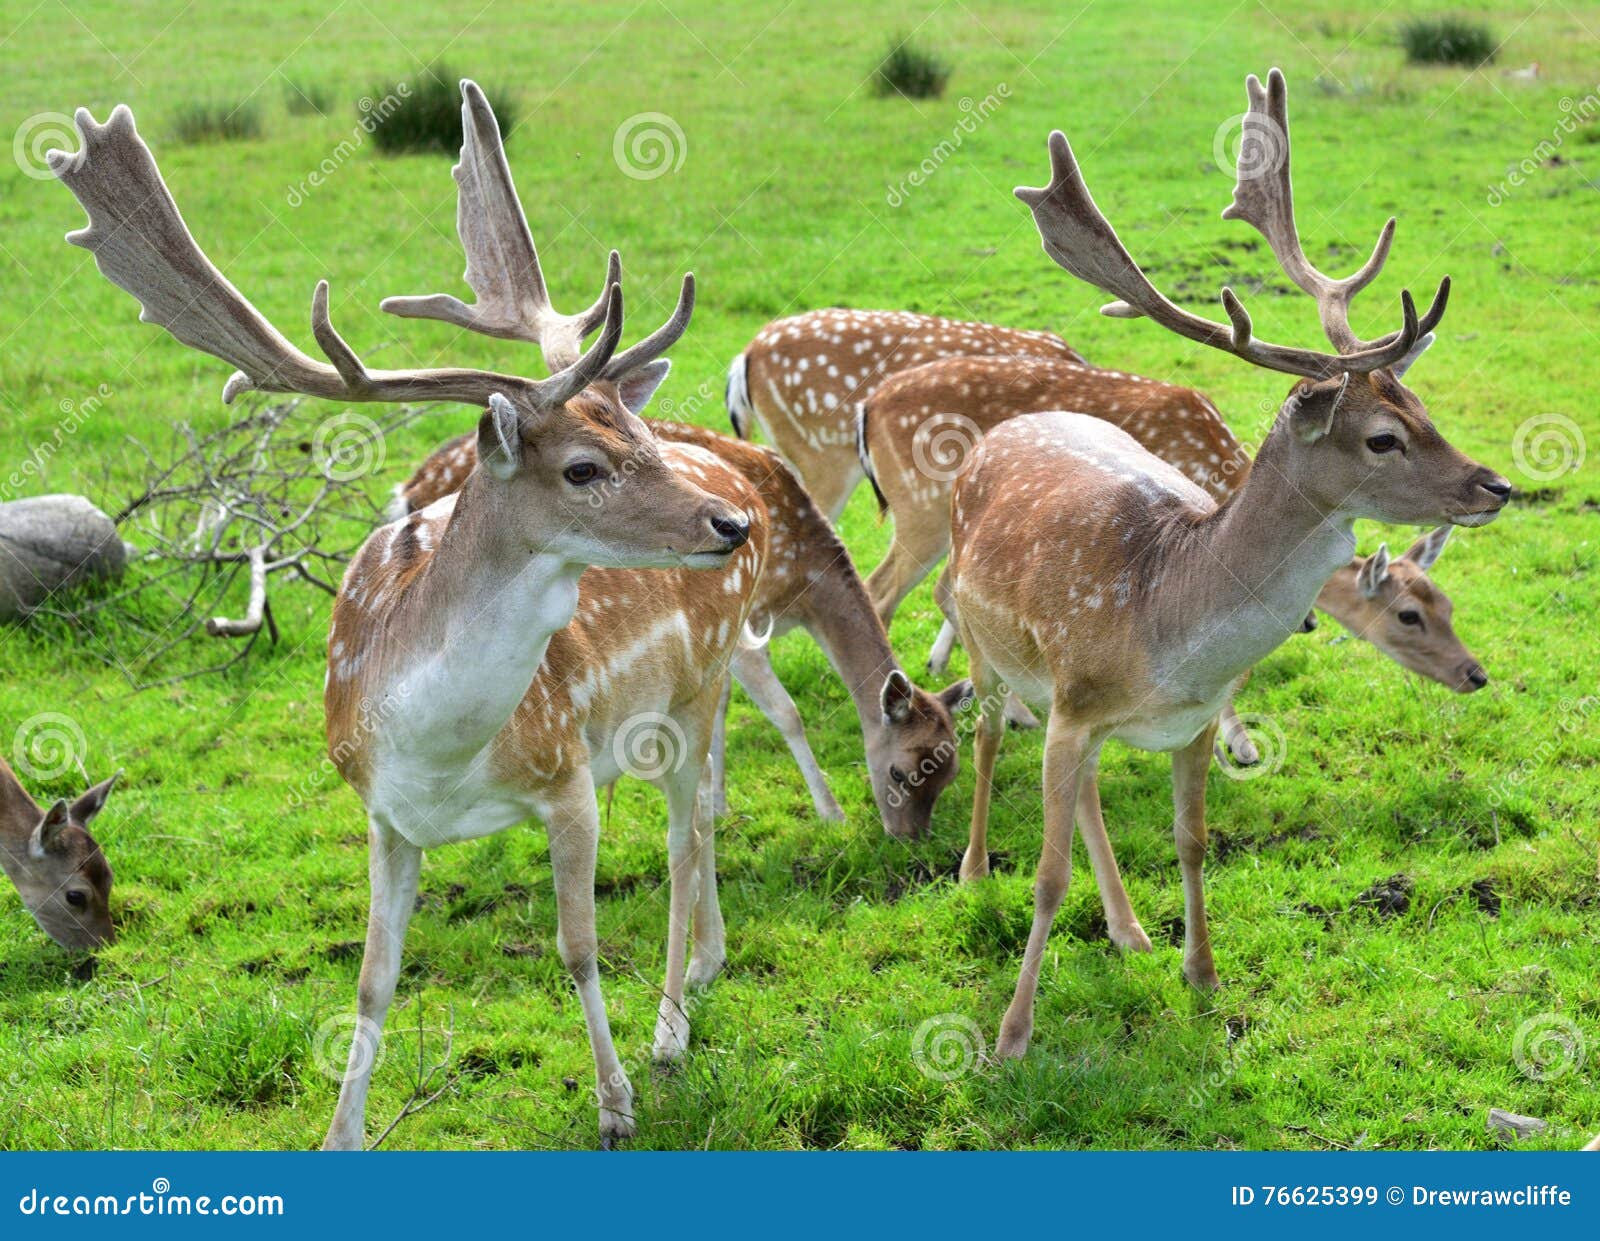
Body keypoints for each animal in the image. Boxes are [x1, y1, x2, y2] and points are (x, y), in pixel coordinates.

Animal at [52, 82, 768, 1149]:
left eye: (637, 433)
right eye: (584, 466)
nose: (730, 523)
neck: (441, 754)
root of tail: (741, 467)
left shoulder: (568, 777)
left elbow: (578, 947)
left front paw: (615, 1103)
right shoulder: (384, 814)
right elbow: (372, 981)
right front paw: (338, 1135)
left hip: (694, 688)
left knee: (687, 839)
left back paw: (672, 1029)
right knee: (708, 820)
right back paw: (711, 967)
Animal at [392, 420, 971, 837]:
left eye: (950, 773)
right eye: (899, 771)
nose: (910, 838)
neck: (802, 585)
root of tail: (408, 487)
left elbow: (716, 709)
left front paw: (717, 805)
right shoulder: (744, 623)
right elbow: (786, 714)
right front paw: (831, 813)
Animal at [856, 354, 1490, 762]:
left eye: (1448, 605)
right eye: (1409, 616)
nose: (1476, 674)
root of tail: (867, 405)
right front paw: (1241, 746)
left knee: (939, 591)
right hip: (920, 508)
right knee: (883, 588)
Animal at [949, 68, 1510, 1060]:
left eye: (1425, 406)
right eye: (1383, 436)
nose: (1495, 484)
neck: (1167, 628)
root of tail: (1008, 427)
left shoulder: (1190, 719)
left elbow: (1192, 839)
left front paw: (1202, 975)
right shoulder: (1074, 701)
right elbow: (1047, 875)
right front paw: (1014, 1035)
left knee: (1087, 794)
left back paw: (1130, 929)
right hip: (991, 645)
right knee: (983, 735)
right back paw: (975, 870)